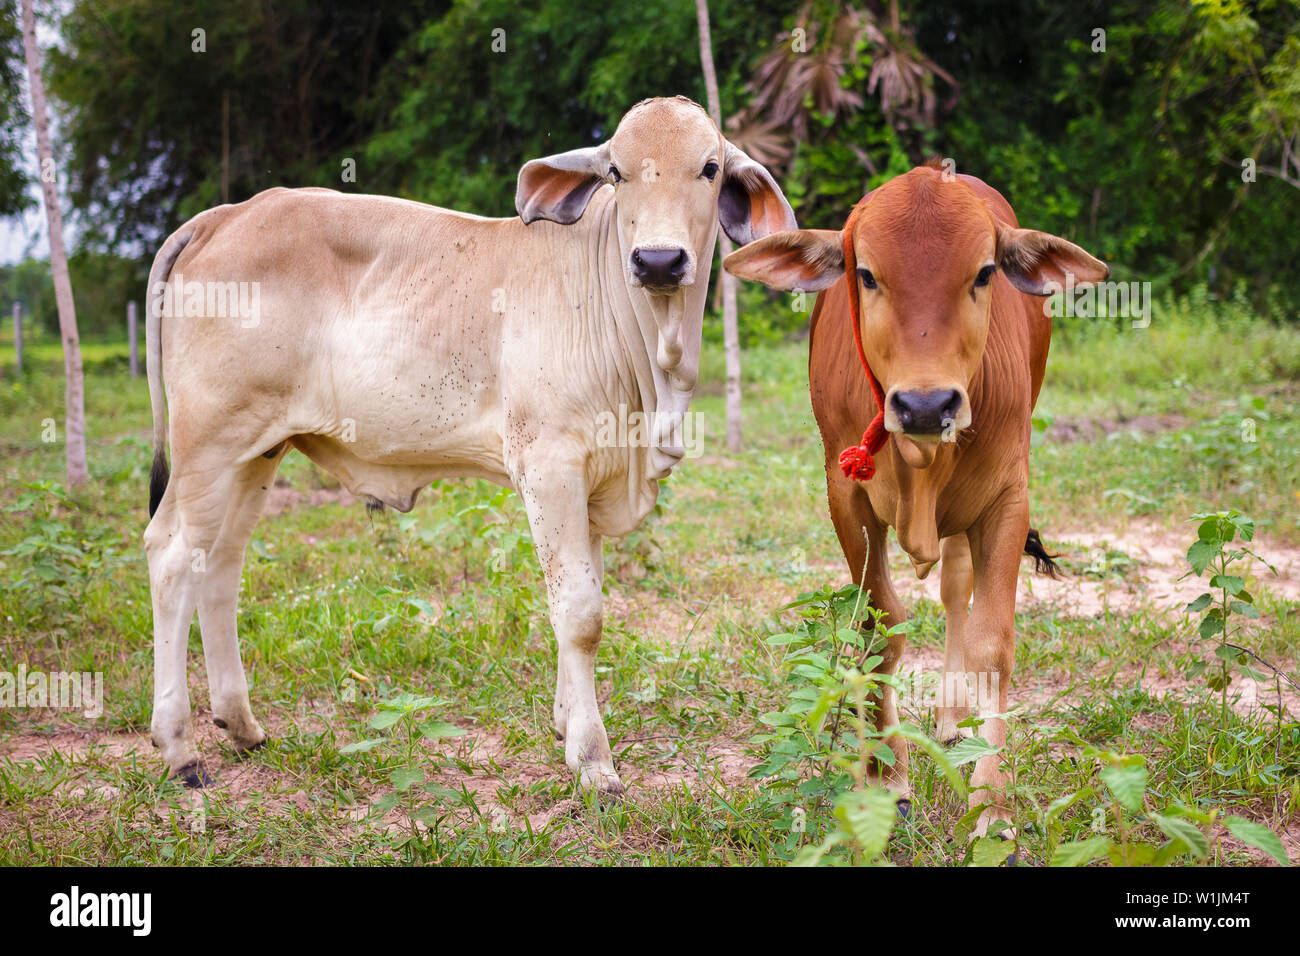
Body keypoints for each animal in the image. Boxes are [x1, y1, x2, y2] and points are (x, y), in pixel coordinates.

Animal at [143, 96, 796, 794]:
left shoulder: (593, 480)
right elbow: (580, 612)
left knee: (220, 565)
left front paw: (565, 722)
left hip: (256, 451)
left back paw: (241, 725)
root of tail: (223, 215)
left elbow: (581, 592)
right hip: (207, 443)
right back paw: (179, 747)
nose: (658, 262)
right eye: (617, 172)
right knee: (173, 557)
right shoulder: (549, 464)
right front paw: (592, 758)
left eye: (709, 167)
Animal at [724, 163, 1108, 839]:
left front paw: (992, 806)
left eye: (984, 272)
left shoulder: (1009, 498)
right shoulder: (846, 497)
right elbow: (880, 628)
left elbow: (992, 643)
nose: (927, 406)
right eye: (867, 274)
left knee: (956, 588)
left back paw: (955, 718)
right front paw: (888, 779)